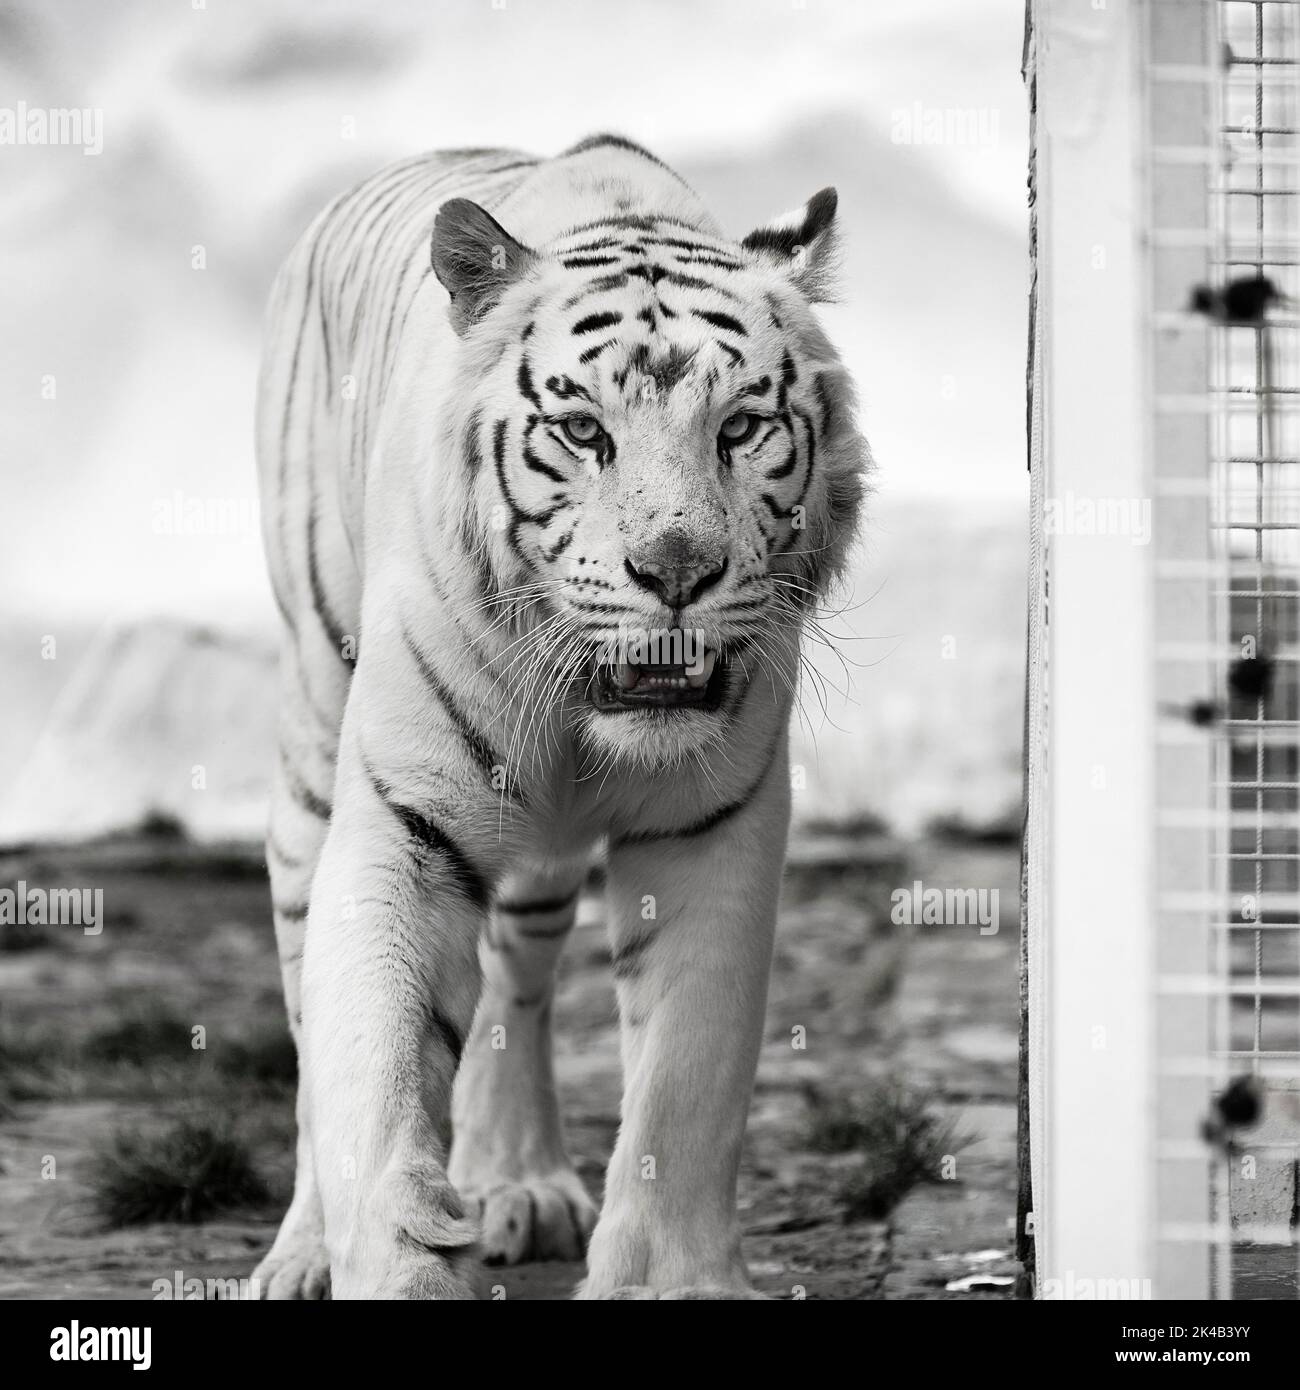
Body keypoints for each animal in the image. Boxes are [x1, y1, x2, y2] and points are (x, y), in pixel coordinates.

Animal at [253, 133, 868, 1300]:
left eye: (741, 427)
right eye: (583, 431)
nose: (675, 569)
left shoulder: (709, 832)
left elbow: (685, 1084)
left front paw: (669, 1280)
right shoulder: (403, 822)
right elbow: (371, 1066)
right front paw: (396, 1261)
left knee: (514, 980)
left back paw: (517, 1182)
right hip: (310, 734)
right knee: (309, 1017)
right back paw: (302, 1251)